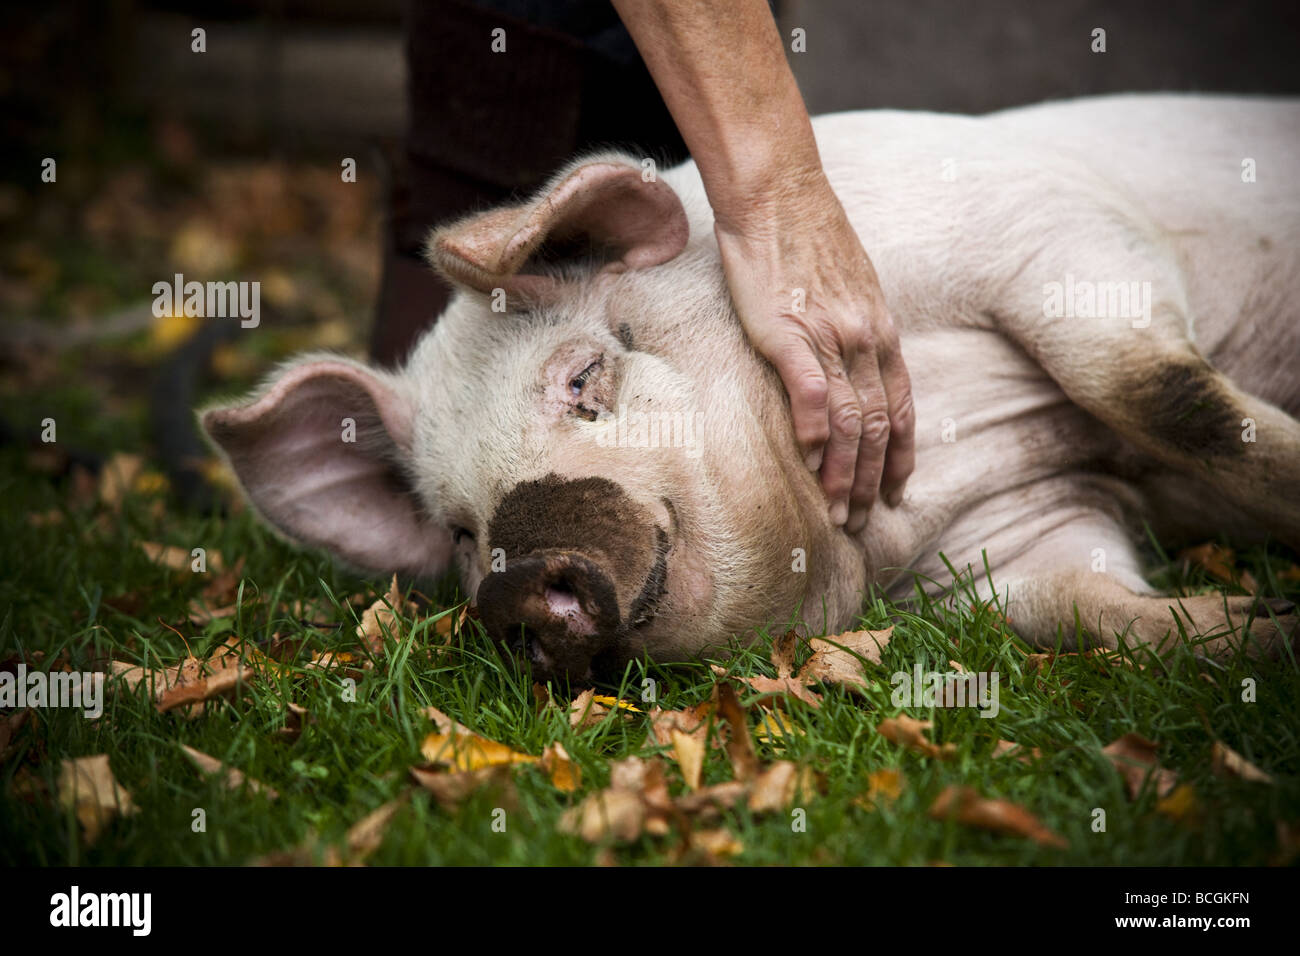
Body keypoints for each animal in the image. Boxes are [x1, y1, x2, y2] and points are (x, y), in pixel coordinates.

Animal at [202, 94, 1300, 683]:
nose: (516, 583)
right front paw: (1270, 629)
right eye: (459, 530)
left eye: (586, 375)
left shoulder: (1054, 237)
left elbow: (1162, 396)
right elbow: (1080, 604)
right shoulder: (1016, 533)